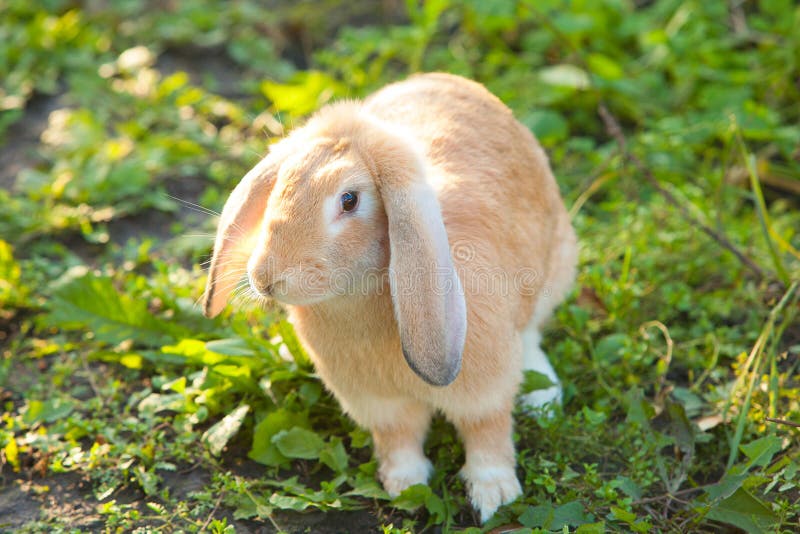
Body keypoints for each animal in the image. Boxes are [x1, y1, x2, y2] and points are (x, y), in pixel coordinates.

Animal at [202, 73, 577, 523]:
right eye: (279, 189)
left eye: (349, 200)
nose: (266, 278)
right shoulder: (377, 402)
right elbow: (398, 439)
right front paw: (405, 485)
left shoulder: (484, 389)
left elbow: (487, 434)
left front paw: (495, 497)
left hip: (554, 272)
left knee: (532, 335)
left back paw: (544, 398)